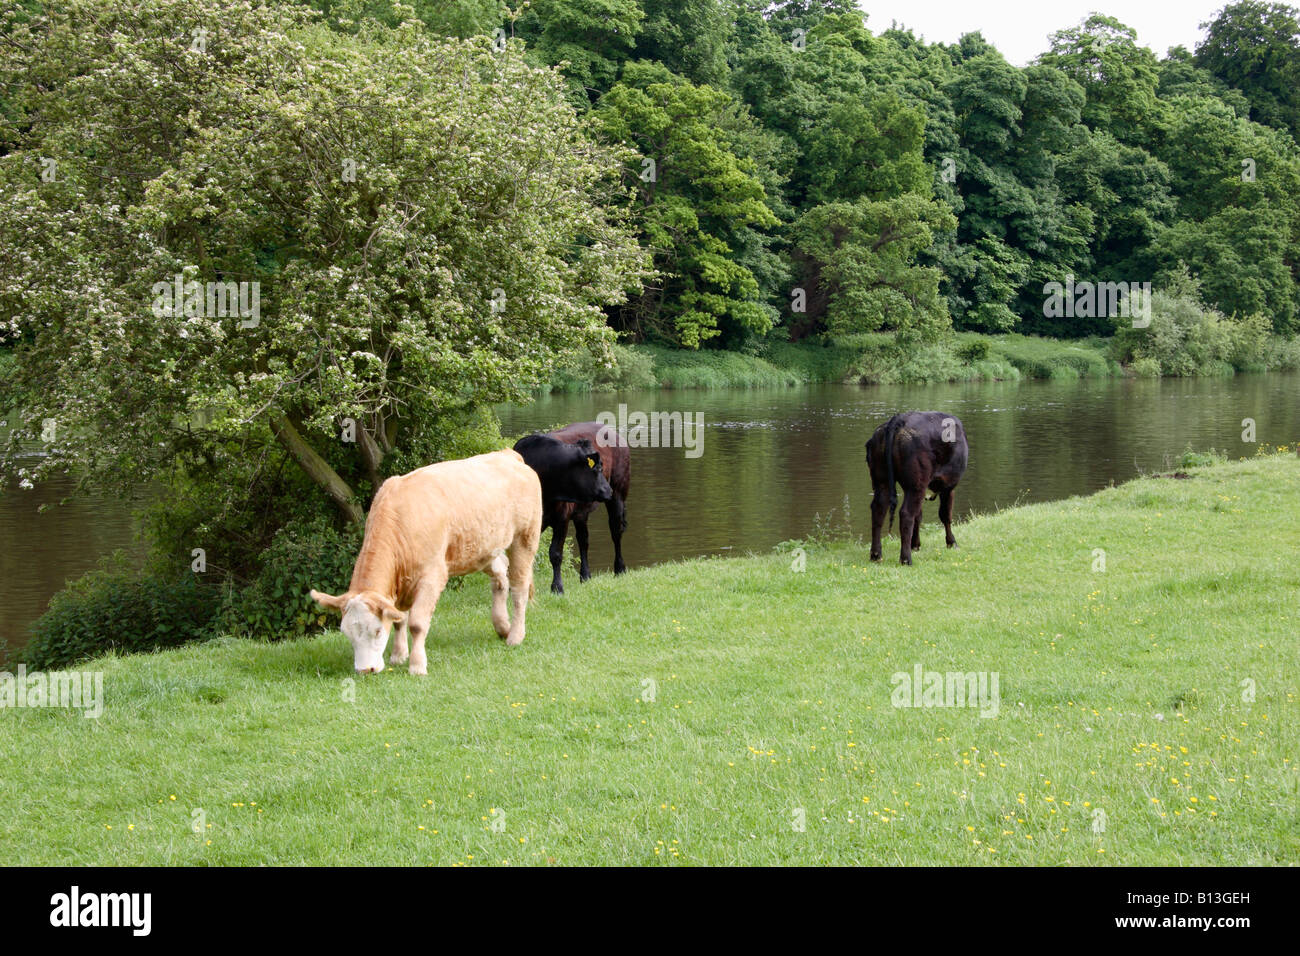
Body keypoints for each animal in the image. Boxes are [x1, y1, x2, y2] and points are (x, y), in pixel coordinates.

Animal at [309, 449, 544, 675]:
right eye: (346, 632)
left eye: (377, 631)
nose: (365, 670)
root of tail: (507, 454)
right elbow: (399, 620)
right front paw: (398, 655)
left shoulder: (432, 576)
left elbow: (416, 623)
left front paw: (417, 665)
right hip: (484, 547)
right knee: (501, 576)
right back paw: (502, 626)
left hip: (525, 538)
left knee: (519, 588)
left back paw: (515, 636)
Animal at [513, 425, 624, 594]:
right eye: (597, 468)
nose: (608, 490)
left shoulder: (562, 518)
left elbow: (556, 553)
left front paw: (557, 587)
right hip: (581, 513)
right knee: (583, 540)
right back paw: (585, 576)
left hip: (619, 493)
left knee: (616, 531)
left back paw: (620, 569)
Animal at [865, 411, 969, 566]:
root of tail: (900, 418)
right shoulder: (948, 487)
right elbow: (945, 515)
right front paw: (951, 543)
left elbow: (919, 516)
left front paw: (915, 545)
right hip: (916, 484)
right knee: (906, 514)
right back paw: (906, 559)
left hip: (882, 481)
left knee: (878, 510)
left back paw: (876, 555)